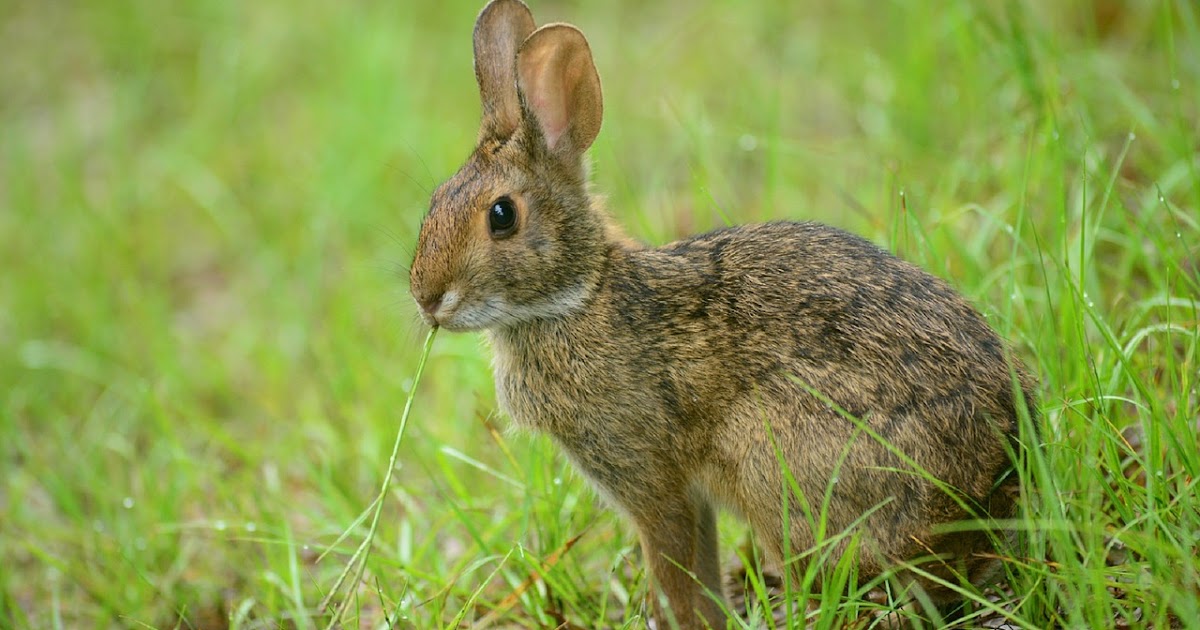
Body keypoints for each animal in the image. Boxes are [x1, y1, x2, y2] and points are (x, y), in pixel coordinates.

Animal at [408, 1, 1039, 627]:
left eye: (502, 215)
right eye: (435, 200)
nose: (426, 298)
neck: (579, 295)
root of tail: (993, 485)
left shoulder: (651, 479)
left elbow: (671, 568)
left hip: (777, 461)